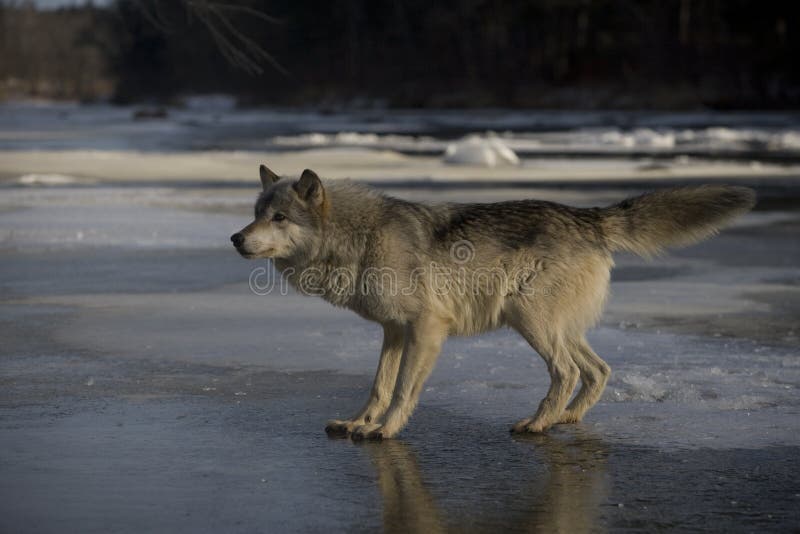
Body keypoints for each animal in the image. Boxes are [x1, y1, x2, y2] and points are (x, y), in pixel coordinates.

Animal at [231, 164, 755, 440]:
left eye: (279, 217)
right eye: (256, 213)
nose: (235, 238)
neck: (358, 239)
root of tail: (586, 216)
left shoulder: (426, 328)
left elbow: (401, 390)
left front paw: (386, 431)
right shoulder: (394, 331)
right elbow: (378, 386)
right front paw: (357, 423)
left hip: (528, 320)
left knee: (567, 371)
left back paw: (538, 423)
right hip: (554, 326)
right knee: (598, 370)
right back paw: (565, 418)